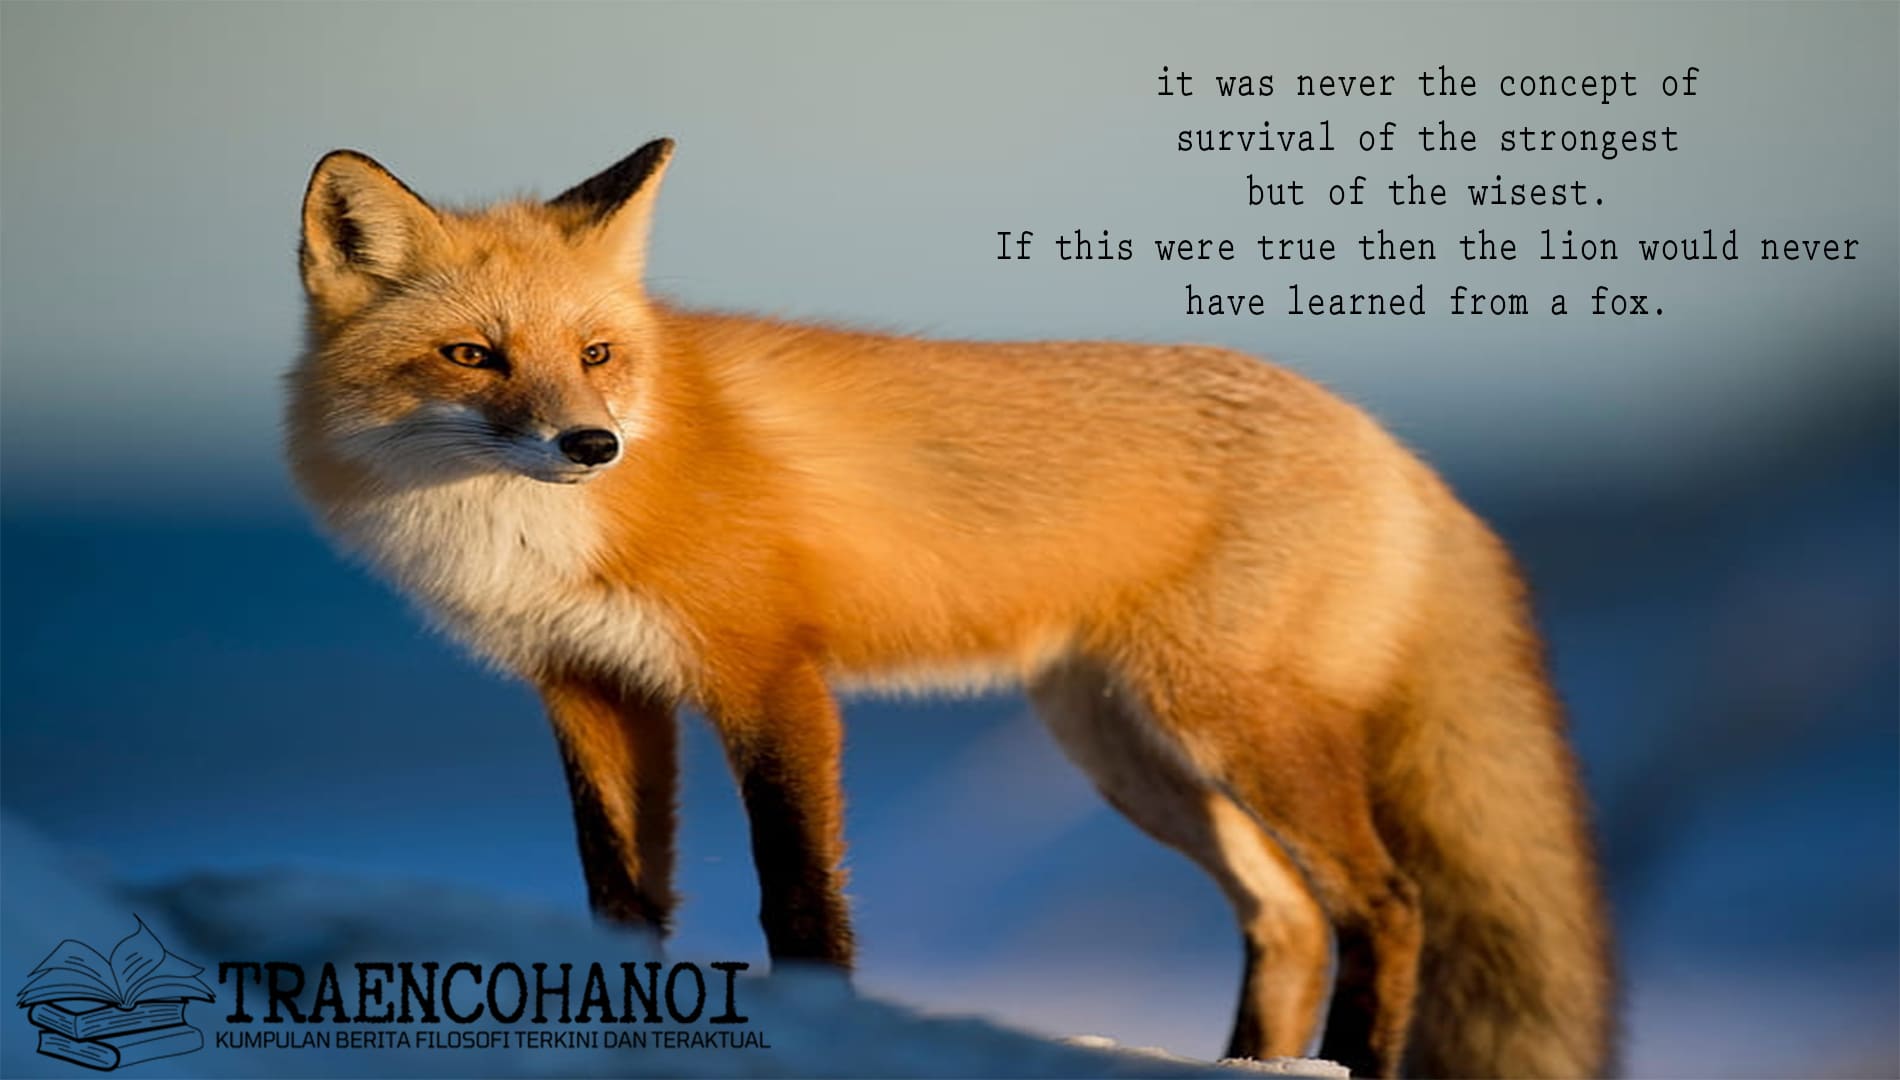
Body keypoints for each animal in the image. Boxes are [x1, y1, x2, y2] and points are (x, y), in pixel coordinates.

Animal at [285, 139, 1616, 1078]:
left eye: (598, 354)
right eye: (474, 356)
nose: (591, 445)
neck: (532, 538)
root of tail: (1391, 447)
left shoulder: (771, 677)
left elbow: (798, 896)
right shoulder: (591, 689)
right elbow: (620, 896)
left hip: (1230, 725)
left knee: (1384, 904)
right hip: (1127, 751)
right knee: (1287, 918)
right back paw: (1250, 1064)